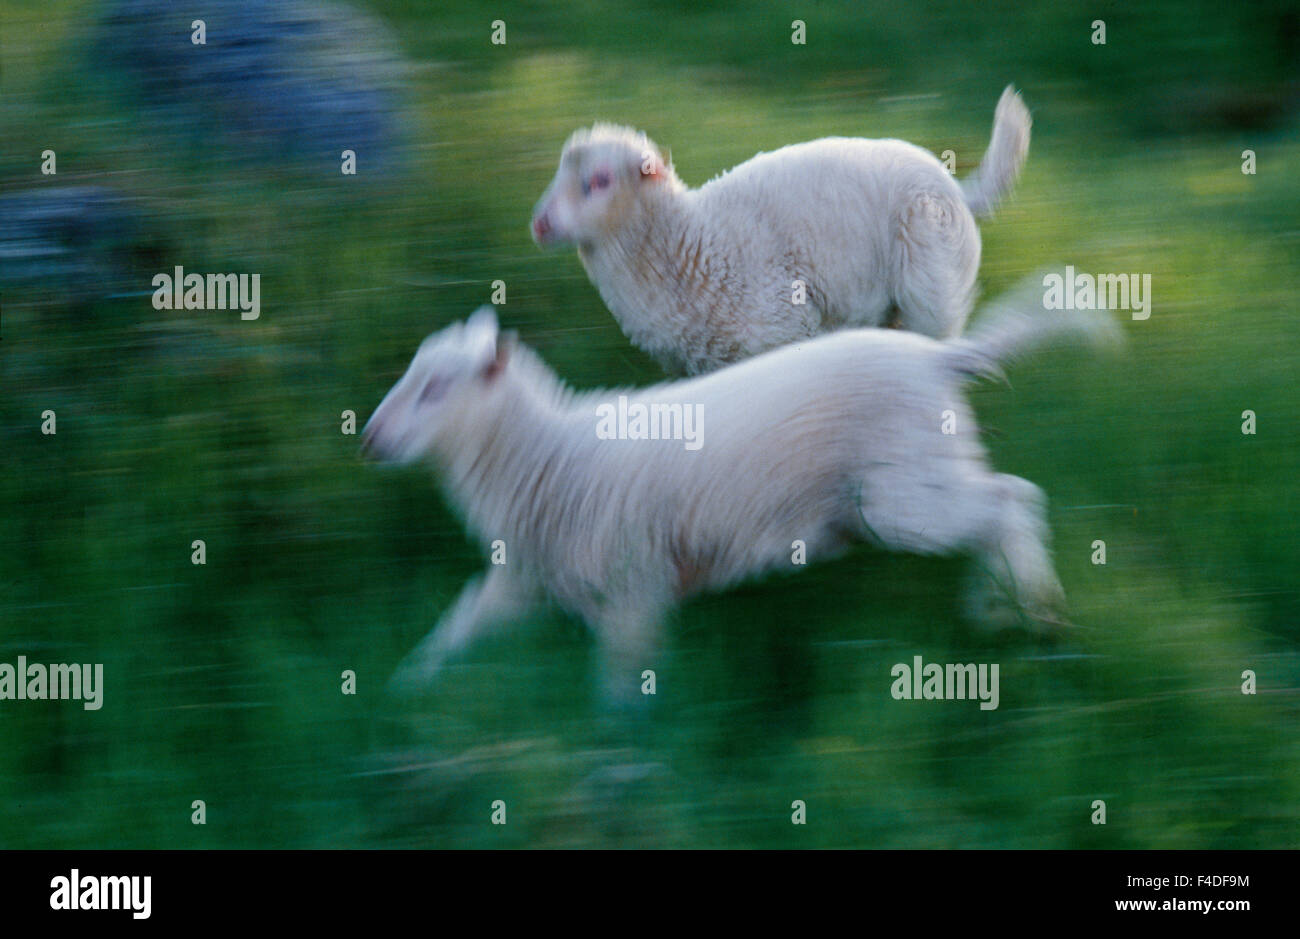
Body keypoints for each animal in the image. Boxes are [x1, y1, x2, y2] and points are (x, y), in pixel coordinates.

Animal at [362, 291, 1117, 704]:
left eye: (436, 387)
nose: (370, 437)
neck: (547, 456)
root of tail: (939, 359)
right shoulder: (525, 576)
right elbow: (459, 625)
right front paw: (405, 691)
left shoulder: (633, 587)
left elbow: (621, 683)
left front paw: (621, 753)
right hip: (922, 473)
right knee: (996, 509)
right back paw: (997, 606)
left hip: (902, 493)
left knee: (1011, 500)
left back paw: (1036, 609)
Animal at [531, 86, 1031, 375]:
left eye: (599, 181)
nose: (539, 224)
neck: (689, 242)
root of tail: (956, 186)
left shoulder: (784, 327)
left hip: (931, 290)